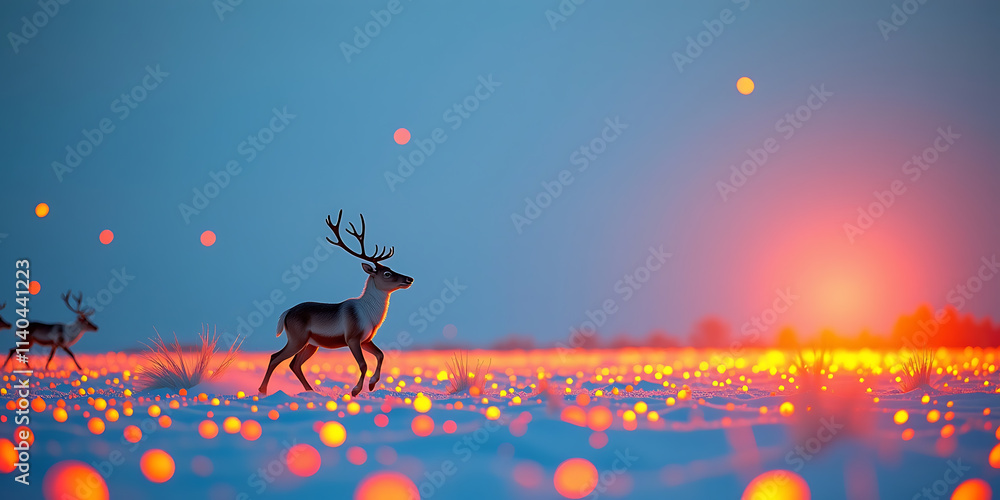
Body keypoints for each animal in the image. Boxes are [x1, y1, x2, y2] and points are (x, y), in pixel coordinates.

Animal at [258, 211, 413, 397]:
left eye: (390, 269)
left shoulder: (366, 339)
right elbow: (363, 364)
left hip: (311, 343)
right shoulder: (352, 337)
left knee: (294, 364)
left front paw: (371, 384)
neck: (369, 314)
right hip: (297, 338)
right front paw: (355, 390)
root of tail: (286, 313)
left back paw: (311, 392)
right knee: (275, 357)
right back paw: (262, 391)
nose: (409, 279)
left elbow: (381, 355)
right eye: (387, 274)